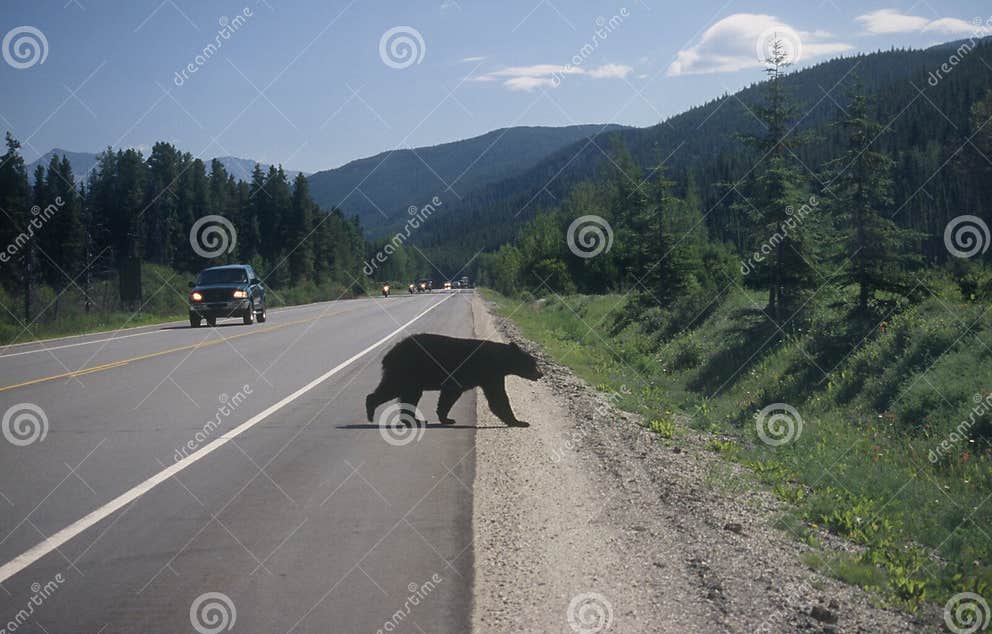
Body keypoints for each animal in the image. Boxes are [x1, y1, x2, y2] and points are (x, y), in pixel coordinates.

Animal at [365, 333, 543, 427]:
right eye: (533, 363)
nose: (540, 374)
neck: (500, 360)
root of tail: (389, 354)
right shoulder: (489, 373)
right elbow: (498, 397)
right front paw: (519, 421)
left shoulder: (488, 376)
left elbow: (449, 396)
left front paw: (446, 418)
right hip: (406, 371)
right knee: (392, 388)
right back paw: (371, 410)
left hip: (411, 377)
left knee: (409, 396)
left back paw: (414, 420)